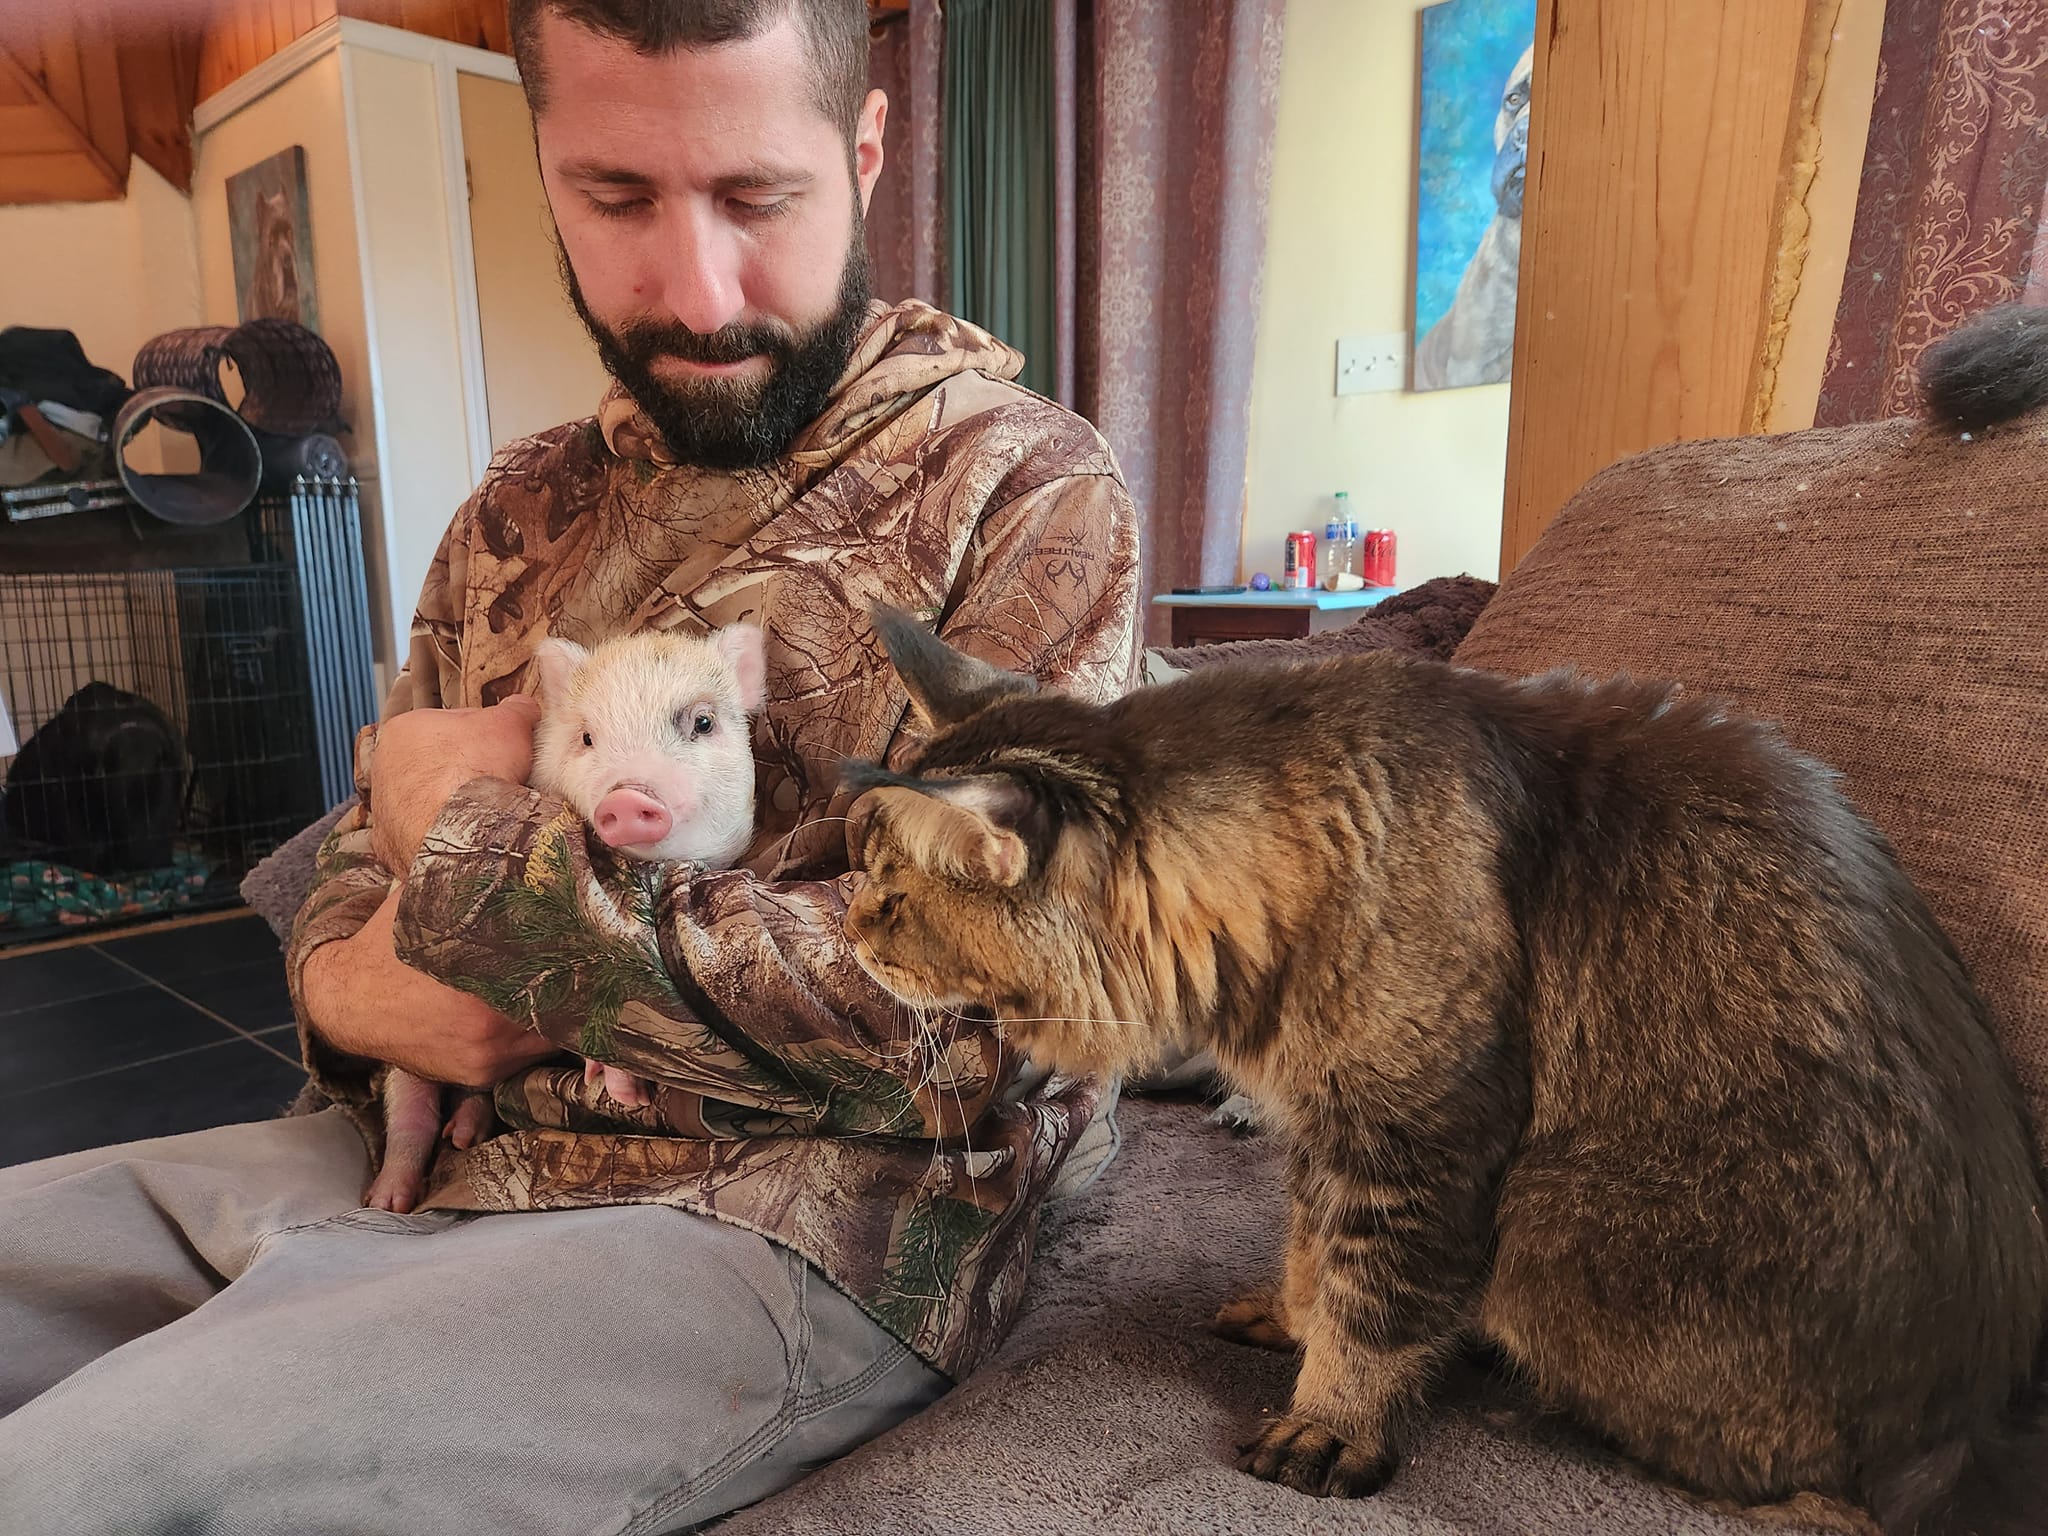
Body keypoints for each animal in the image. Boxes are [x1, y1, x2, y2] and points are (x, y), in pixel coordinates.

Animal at [363, 623, 767, 1212]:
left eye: (703, 723)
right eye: (587, 738)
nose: (628, 798)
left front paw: (623, 1090)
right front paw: (620, 1088)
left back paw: (462, 1135)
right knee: (409, 1105)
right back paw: (388, 1201)